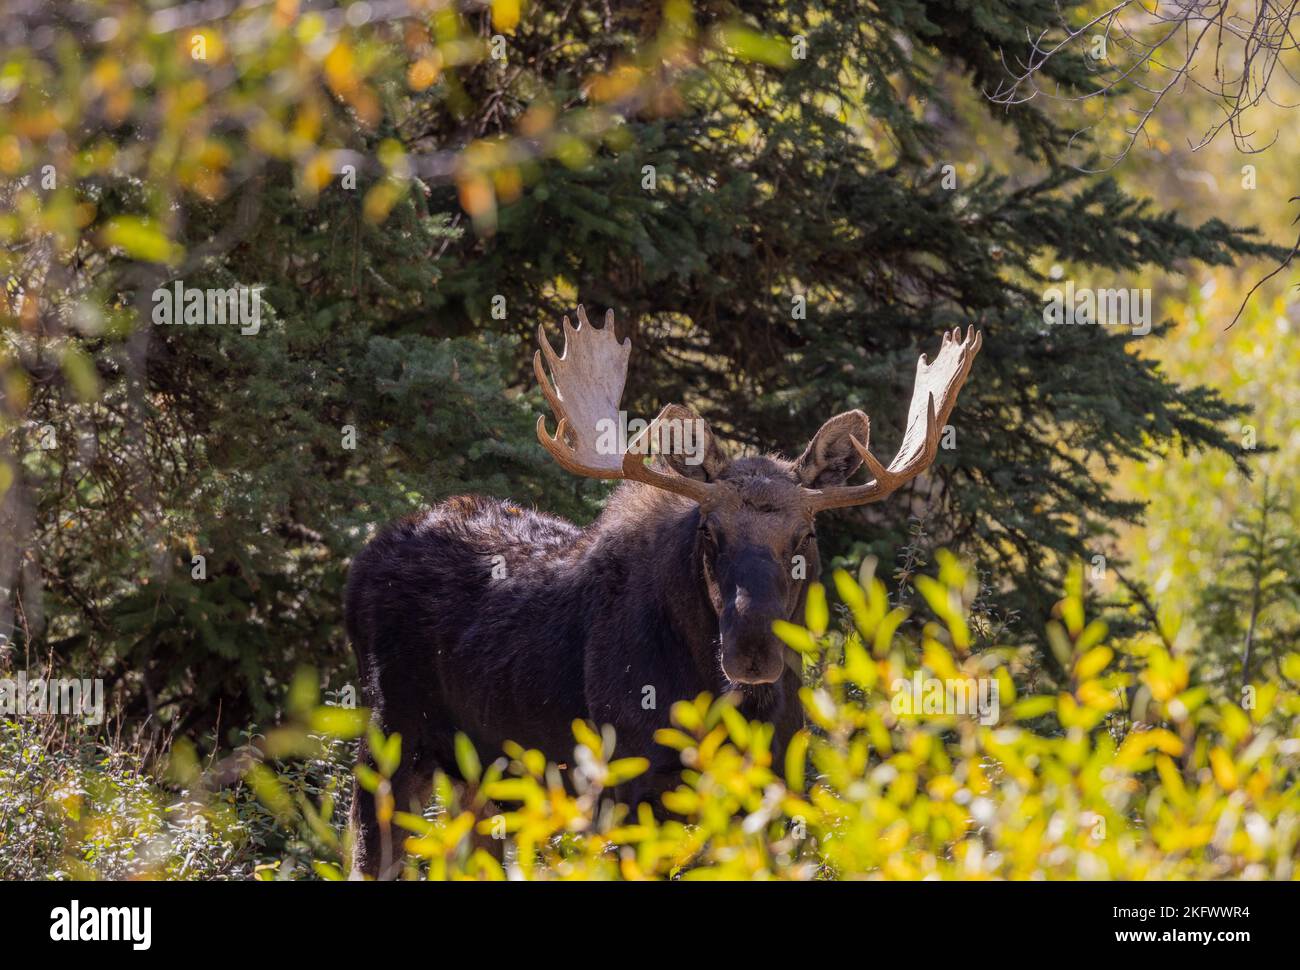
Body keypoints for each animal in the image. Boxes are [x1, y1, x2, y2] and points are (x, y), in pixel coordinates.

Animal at [345, 306, 981, 877]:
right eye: (709, 532)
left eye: (805, 533)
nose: (752, 650)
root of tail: (367, 553)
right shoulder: (623, 788)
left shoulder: (775, 787)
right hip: (389, 740)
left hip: (481, 776)